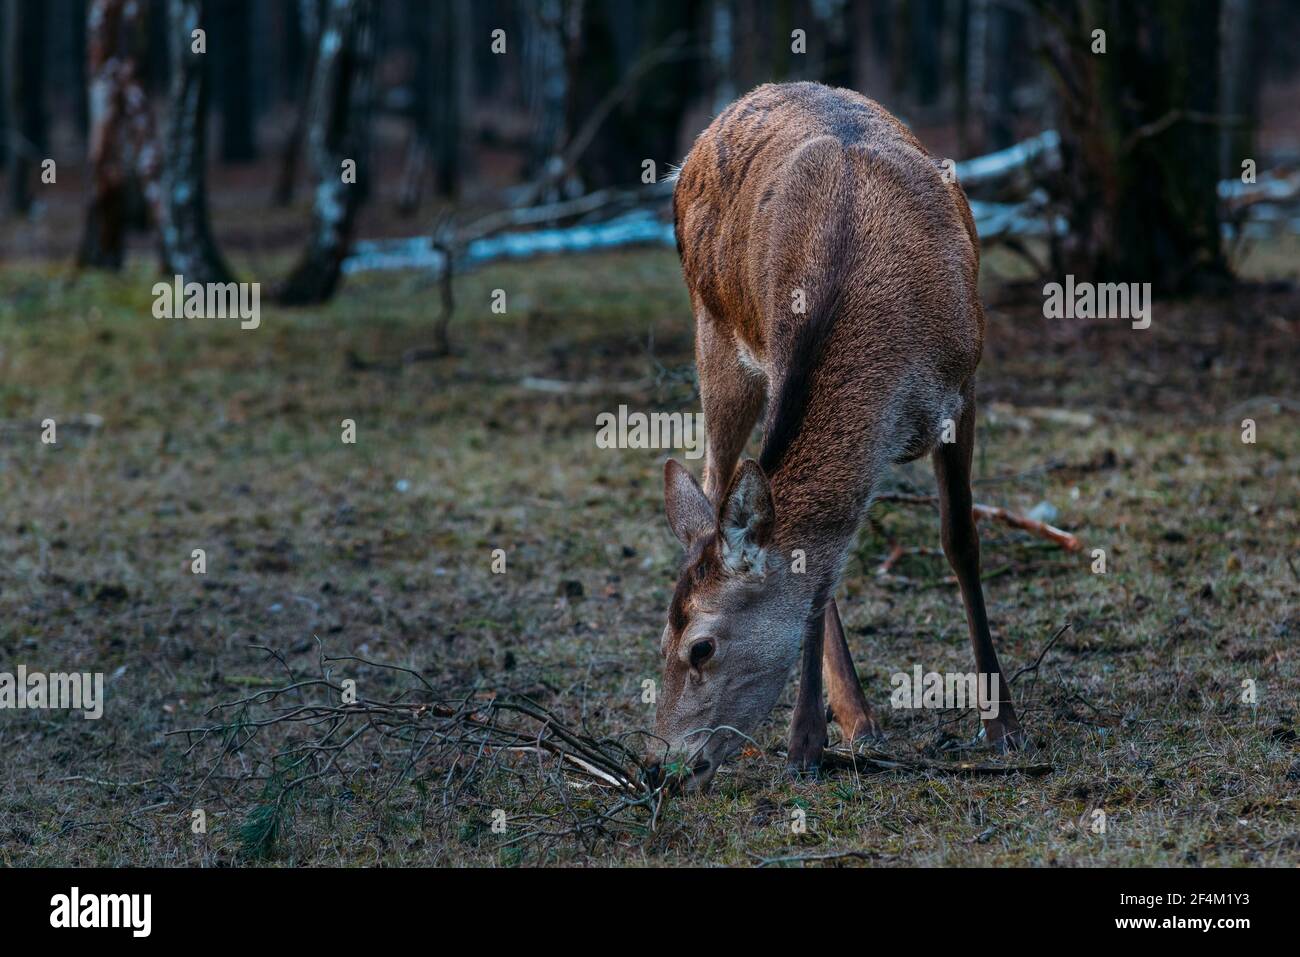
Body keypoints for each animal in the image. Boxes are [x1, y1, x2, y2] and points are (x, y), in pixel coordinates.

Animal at [649, 82, 1026, 792]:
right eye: (662, 640)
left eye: (699, 646)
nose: (660, 766)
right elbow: (818, 574)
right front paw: (806, 741)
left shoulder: (964, 383)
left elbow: (961, 542)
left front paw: (1004, 723)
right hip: (714, 333)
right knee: (715, 477)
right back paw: (854, 718)